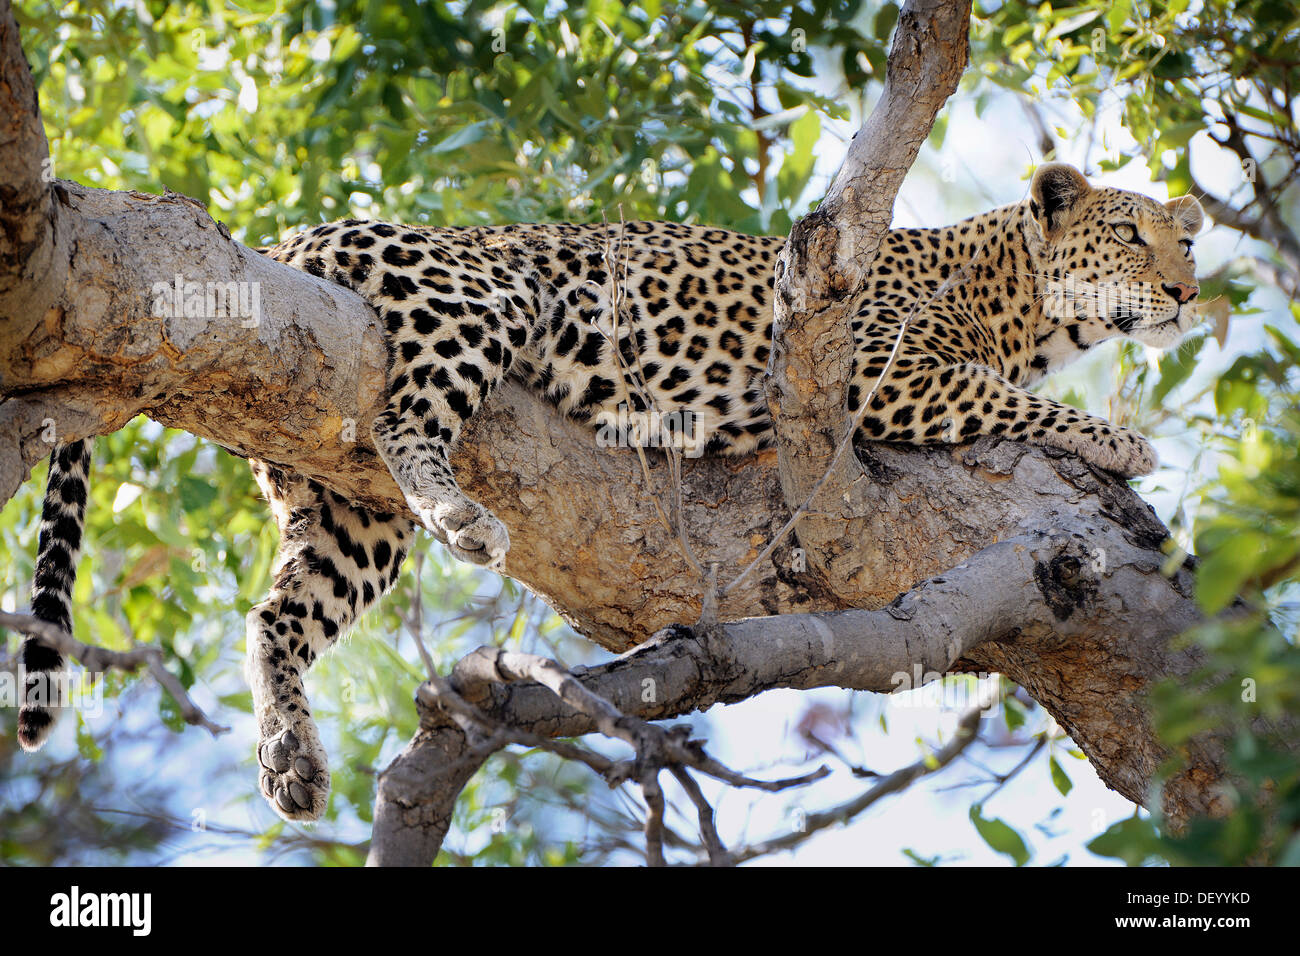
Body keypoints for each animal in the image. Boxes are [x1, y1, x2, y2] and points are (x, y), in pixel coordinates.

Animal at [15, 163, 1203, 822]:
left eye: (1185, 238)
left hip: (343, 503)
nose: (1190, 290)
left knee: (277, 612)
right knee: (408, 421)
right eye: (1128, 233)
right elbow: (1015, 400)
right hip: (478, 293)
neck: (1027, 304)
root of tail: (286, 236)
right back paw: (462, 516)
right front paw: (1125, 442)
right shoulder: (887, 369)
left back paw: (290, 759)